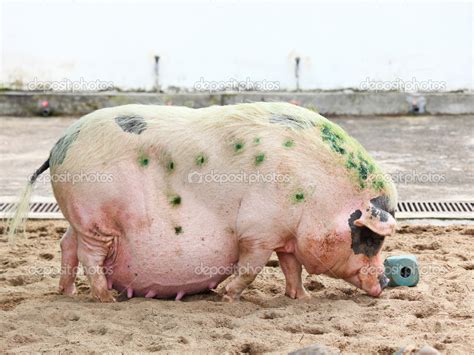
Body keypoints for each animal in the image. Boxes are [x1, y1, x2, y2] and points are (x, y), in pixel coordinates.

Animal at [9, 102, 398, 304]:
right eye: (371, 239)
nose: (386, 281)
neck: (320, 194)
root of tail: (58, 146)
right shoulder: (258, 231)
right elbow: (251, 267)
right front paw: (225, 296)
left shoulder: (285, 234)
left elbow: (291, 266)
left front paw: (301, 299)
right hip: (96, 219)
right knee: (89, 256)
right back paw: (108, 299)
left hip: (79, 219)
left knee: (66, 244)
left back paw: (65, 292)